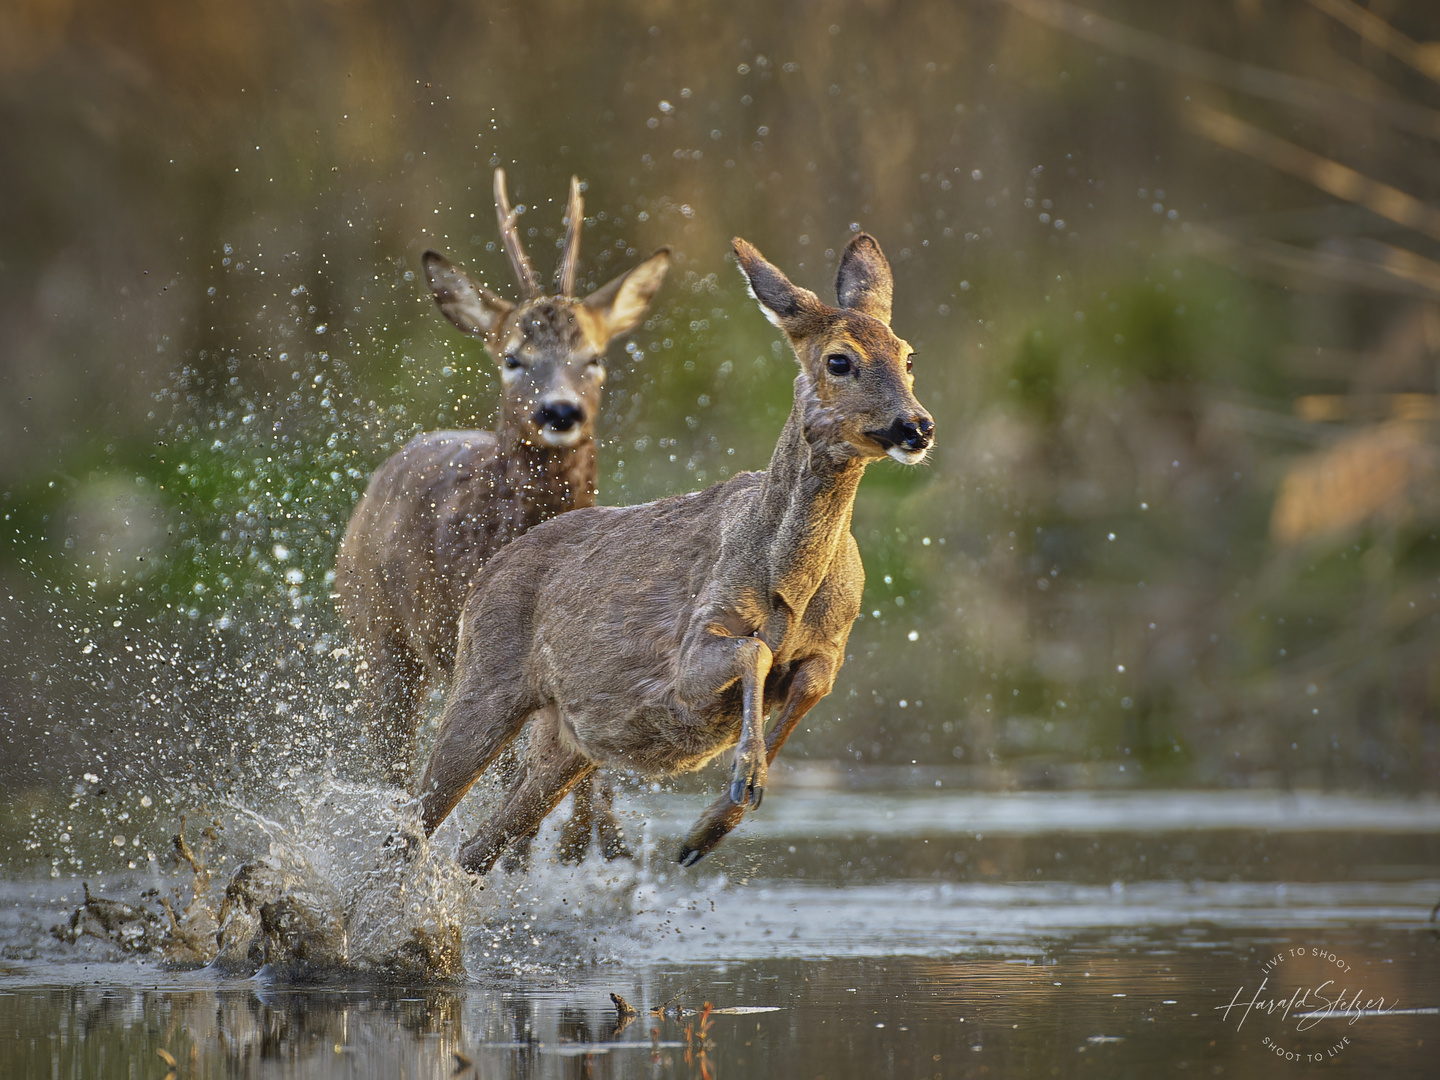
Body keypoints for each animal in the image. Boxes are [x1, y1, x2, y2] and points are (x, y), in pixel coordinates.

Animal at [336, 167, 668, 864]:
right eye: (513, 357)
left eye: (595, 357)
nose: (560, 411)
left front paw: (590, 845)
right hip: (380, 638)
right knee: (393, 765)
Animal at [417, 233, 933, 875]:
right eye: (839, 360)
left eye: (908, 356)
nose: (917, 426)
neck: (791, 584)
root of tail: (489, 571)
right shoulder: (693, 650)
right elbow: (755, 653)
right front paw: (743, 780)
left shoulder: (829, 655)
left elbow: (803, 690)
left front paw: (704, 833)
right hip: (483, 681)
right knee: (413, 823)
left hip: (567, 744)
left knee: (476, 846)